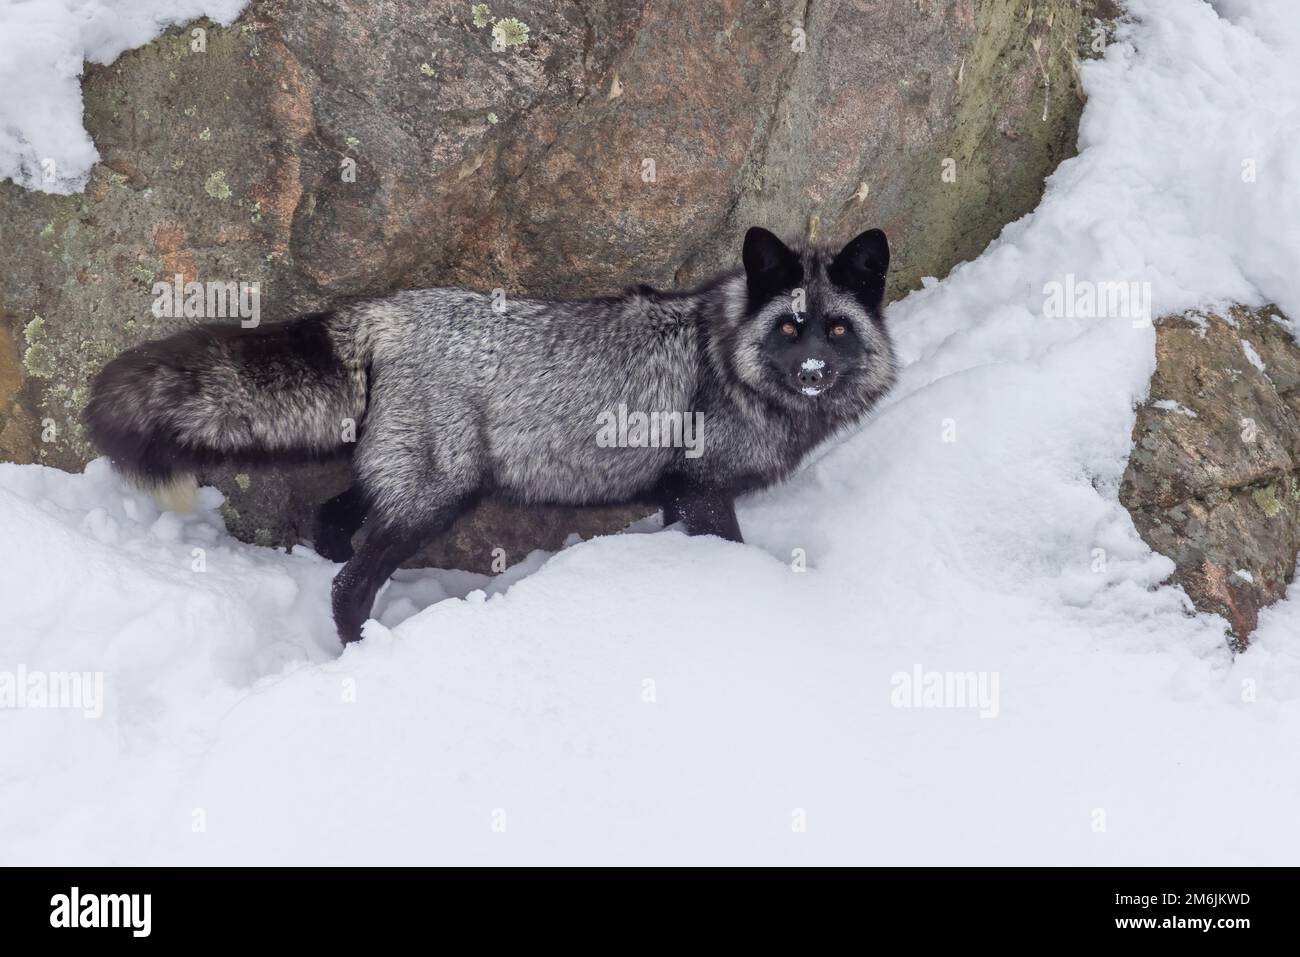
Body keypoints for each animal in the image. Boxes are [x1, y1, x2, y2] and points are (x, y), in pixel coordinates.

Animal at [84, 226, 898, 644]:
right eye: (789, 327)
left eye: (835, 329)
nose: (816, 370)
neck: (725, 355)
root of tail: (382, 311)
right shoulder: (702, 487)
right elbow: (727, 546)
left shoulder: (675, 493)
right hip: (436, 497)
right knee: (351, 583)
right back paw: (364, 650)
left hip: (405, 479)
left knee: (332, 520)